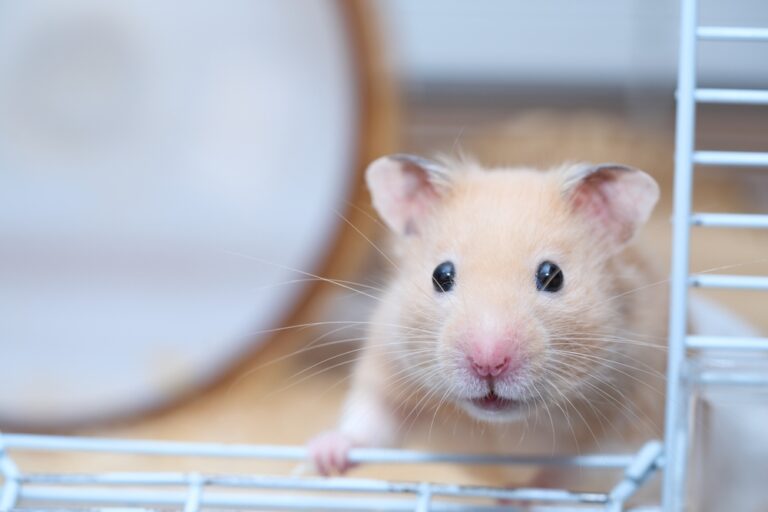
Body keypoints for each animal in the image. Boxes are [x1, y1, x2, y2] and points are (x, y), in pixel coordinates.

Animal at [308, 154, 667, 490]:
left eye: (553, 276)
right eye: (441, 274)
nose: (489, 364)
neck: (505, 425)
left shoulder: (633, 427)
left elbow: (573, 475)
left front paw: (512, 496)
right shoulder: (388, 367)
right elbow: (370, 422)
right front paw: (323, 457)